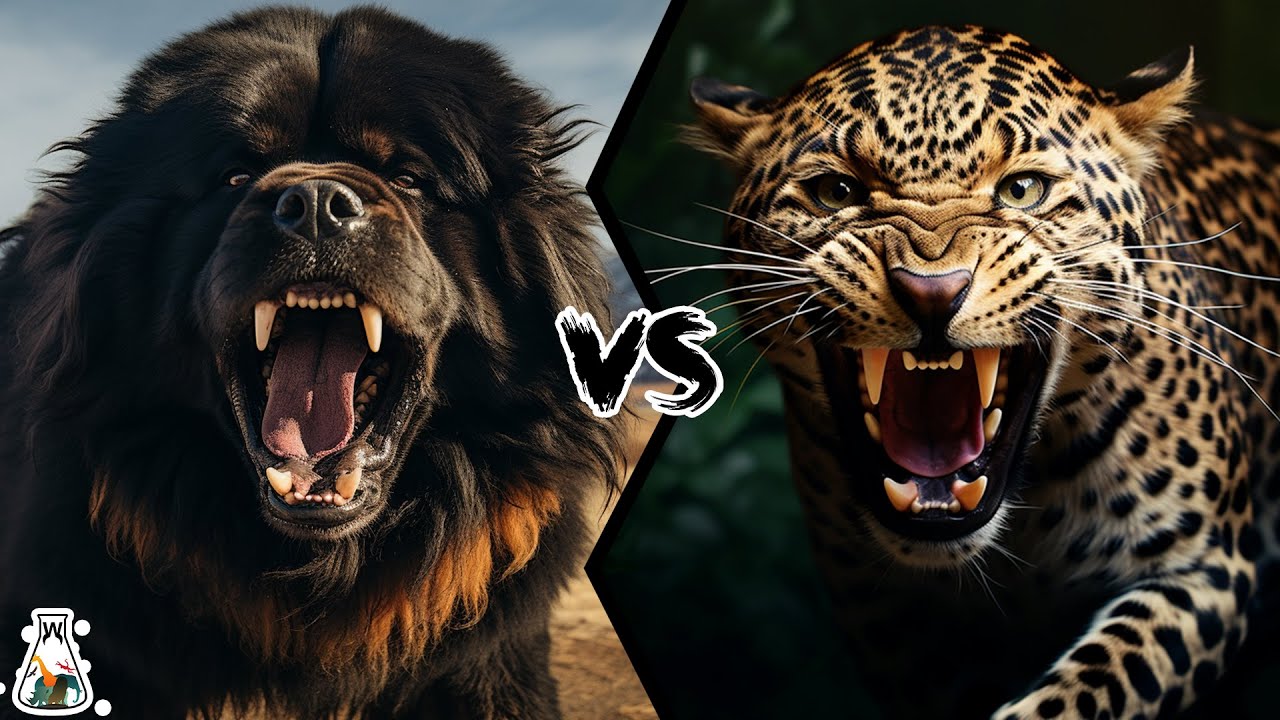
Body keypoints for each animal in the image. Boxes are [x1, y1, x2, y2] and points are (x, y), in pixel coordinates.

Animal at [683, 24, 1280, 719]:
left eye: (1023, 190)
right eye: (837, 192)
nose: (932, 291)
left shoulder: (1204, 569)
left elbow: (1094, 685)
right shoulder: (888, 621)